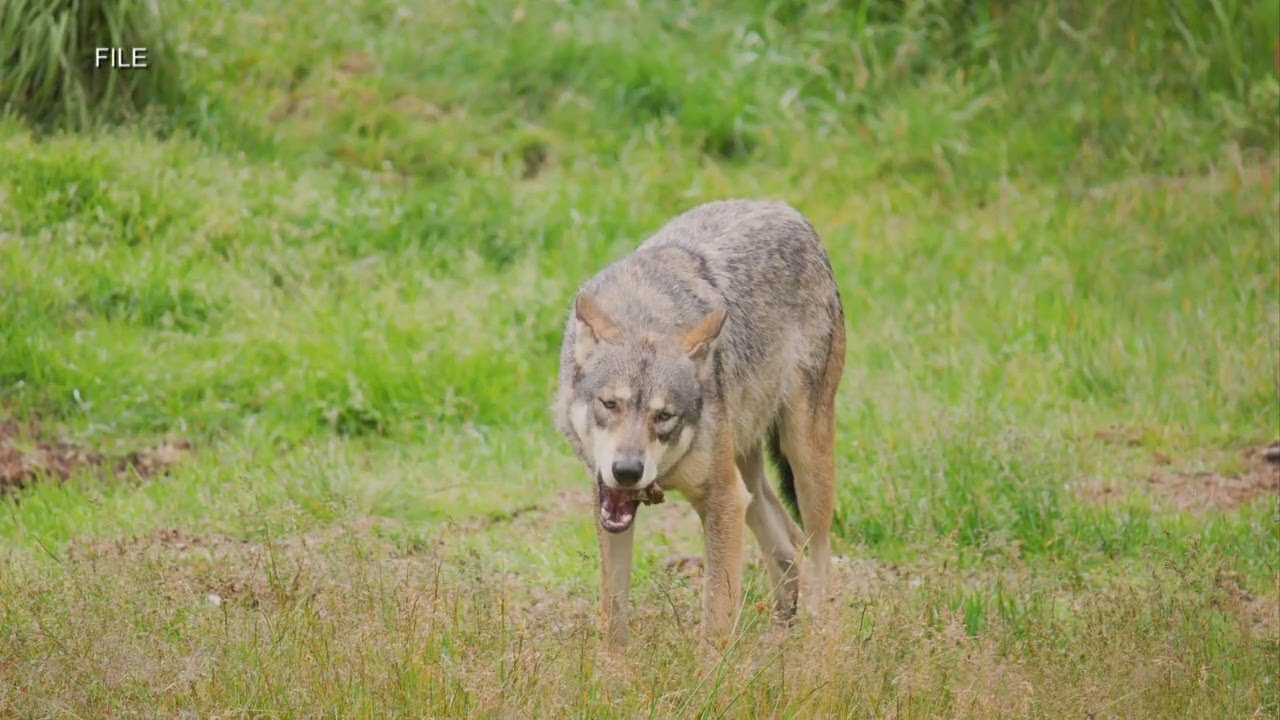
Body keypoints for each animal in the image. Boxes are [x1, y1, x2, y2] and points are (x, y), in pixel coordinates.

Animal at [552, 199, 846, 647]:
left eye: (664, 415)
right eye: (610, 404)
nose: (627, 471)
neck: (645, 315)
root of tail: (785, 208)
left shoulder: (724, 500)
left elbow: (716, 620)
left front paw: (712, 668)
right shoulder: (609, 502)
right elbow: (612, 615)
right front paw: (611, 667)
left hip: (803, 460)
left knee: (819, 553)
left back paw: (818, 642)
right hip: (749, 480)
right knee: (788, 546)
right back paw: (779, 642)